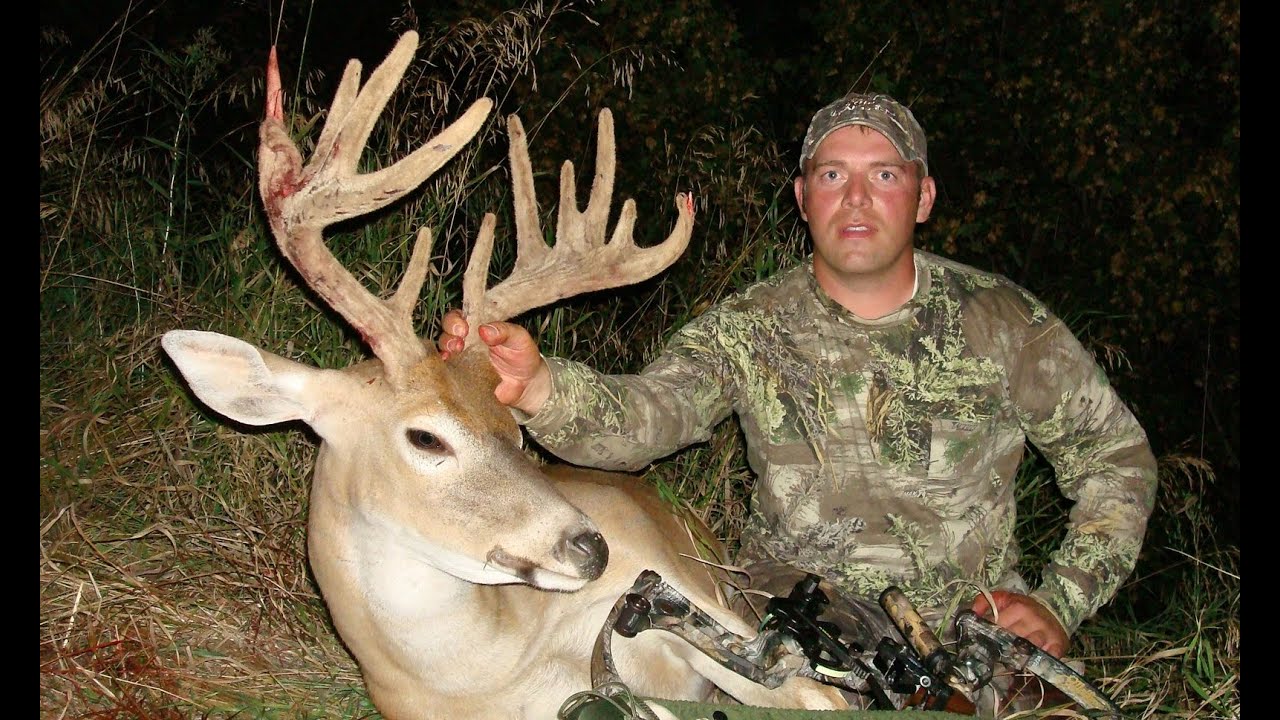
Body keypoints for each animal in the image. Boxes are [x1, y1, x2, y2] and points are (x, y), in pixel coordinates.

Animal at [160, 31, 848, 720]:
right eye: (426, 437)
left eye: (516, 435)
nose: (591, 546)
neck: (489, 667)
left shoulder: (674, 592)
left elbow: (810, 690)